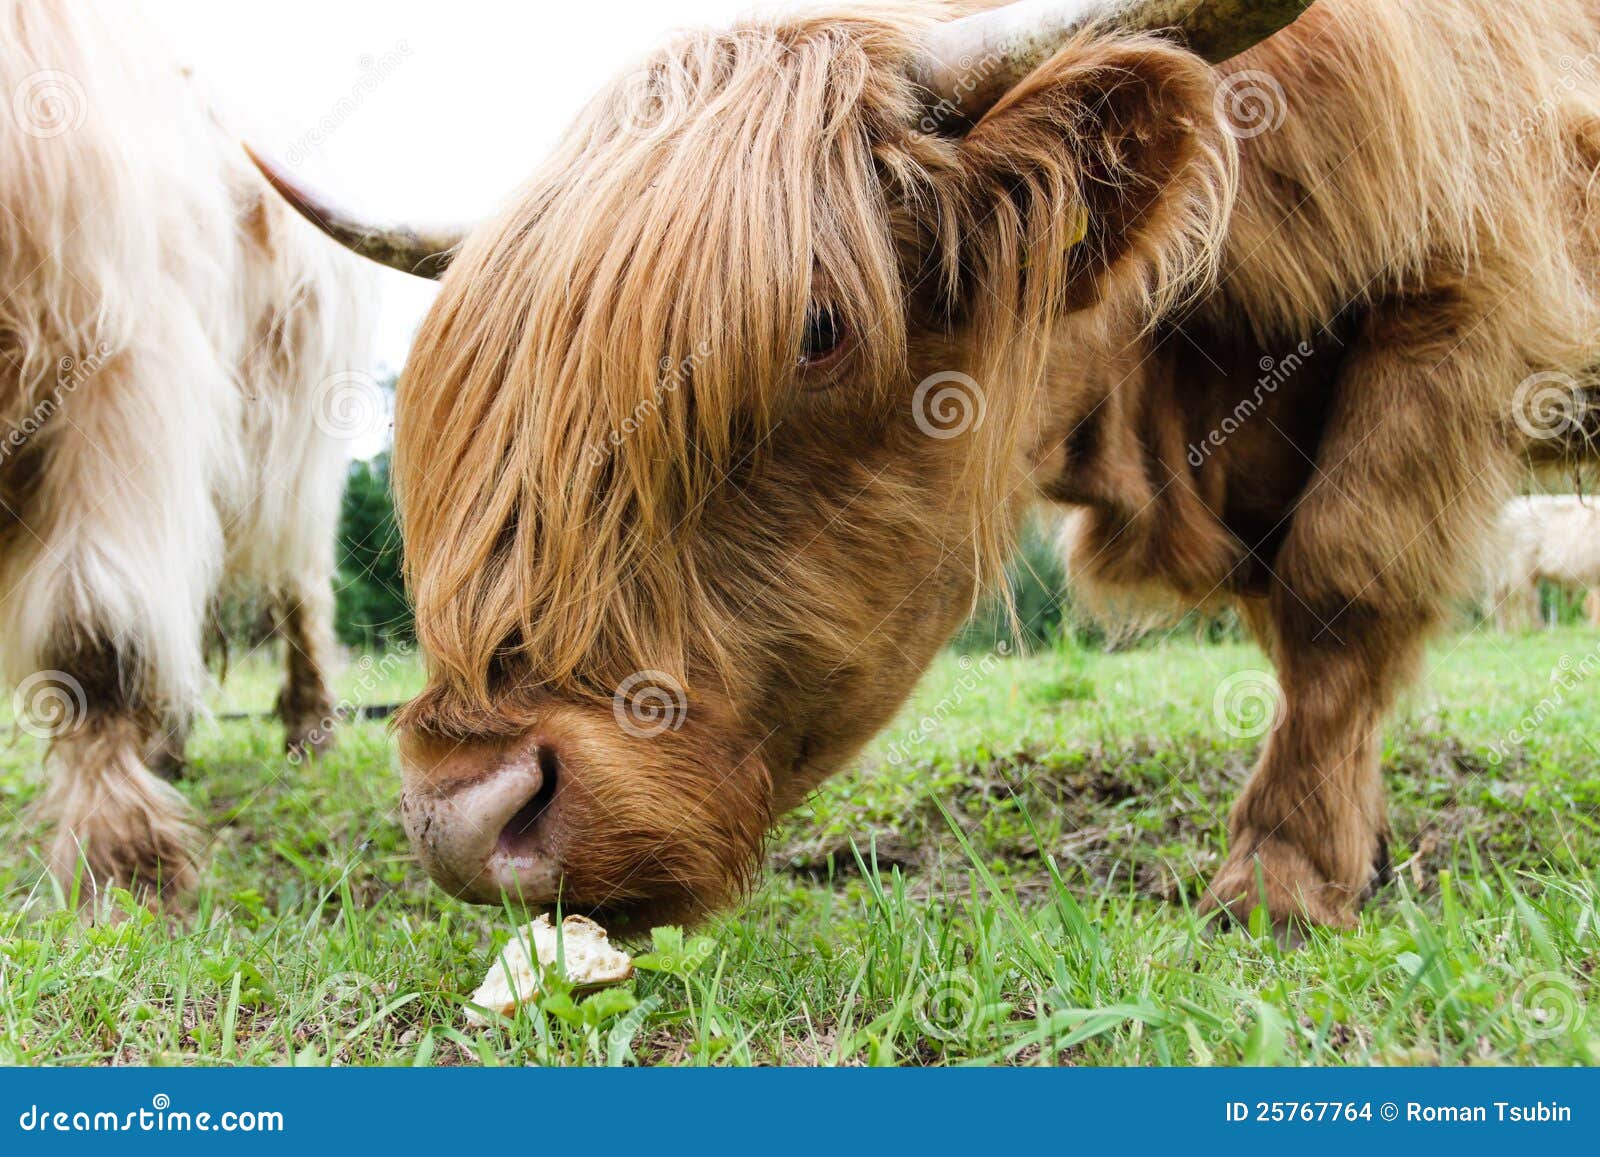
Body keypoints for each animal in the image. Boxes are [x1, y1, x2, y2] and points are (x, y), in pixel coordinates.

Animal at [0, 1, 375, 903]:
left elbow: (90, 630)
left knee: (300, 582)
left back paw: (310, 727)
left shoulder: (119, 374)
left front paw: (122, 861)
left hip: (300, 444)